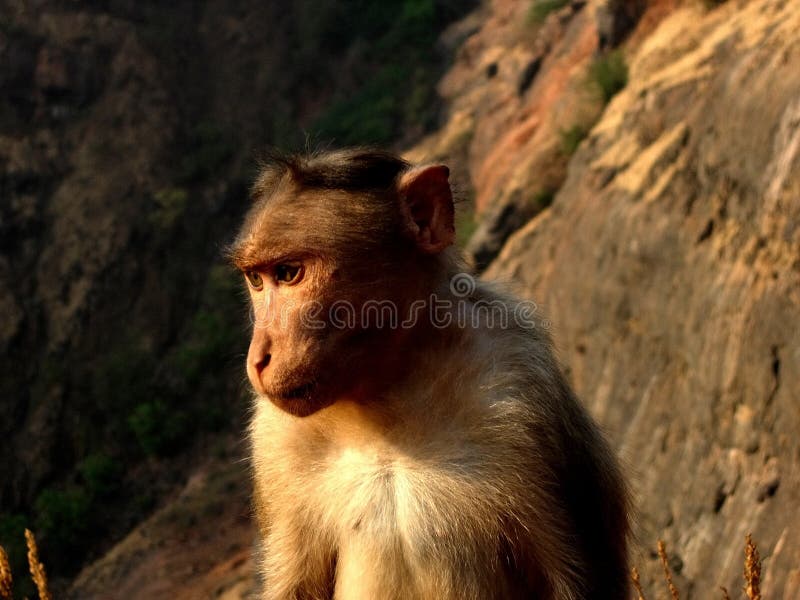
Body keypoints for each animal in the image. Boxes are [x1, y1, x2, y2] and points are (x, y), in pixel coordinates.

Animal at [228, 148, 630, 599]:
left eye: (288, 273)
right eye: (256, 280)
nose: (258, 358)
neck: (388, 397)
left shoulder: (523, 393)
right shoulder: (275, 441)